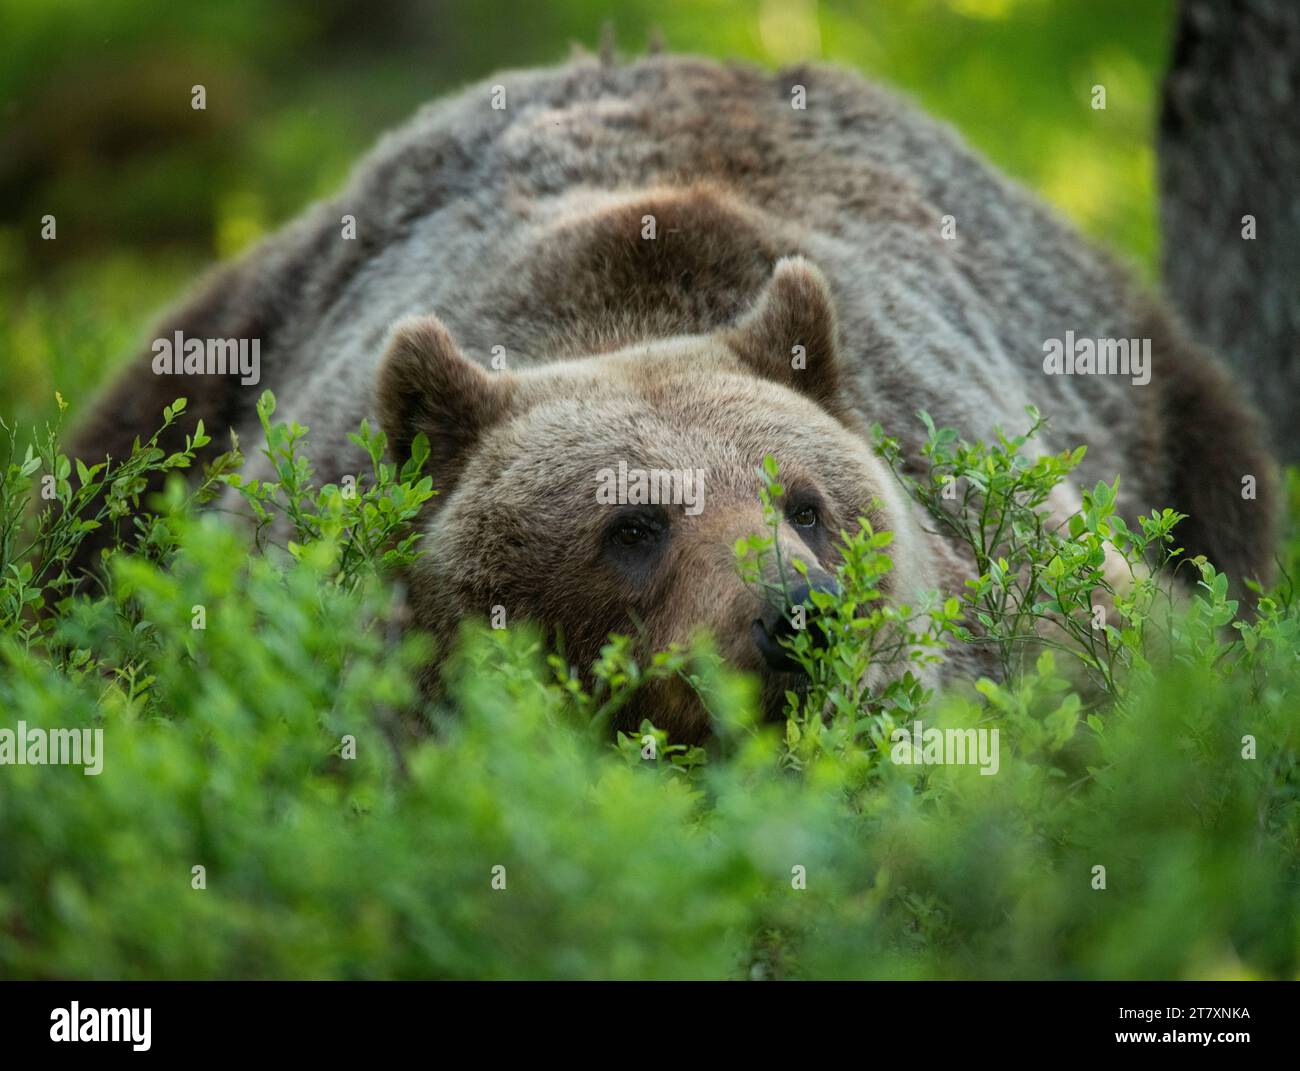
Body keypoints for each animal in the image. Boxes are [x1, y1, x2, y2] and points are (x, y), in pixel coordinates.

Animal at [68, 52, 1279, 743]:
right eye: (634, 525)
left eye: (806, 504)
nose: (798, 616)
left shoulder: (1014, 560)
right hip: (212, 356)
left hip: (1161, 401)